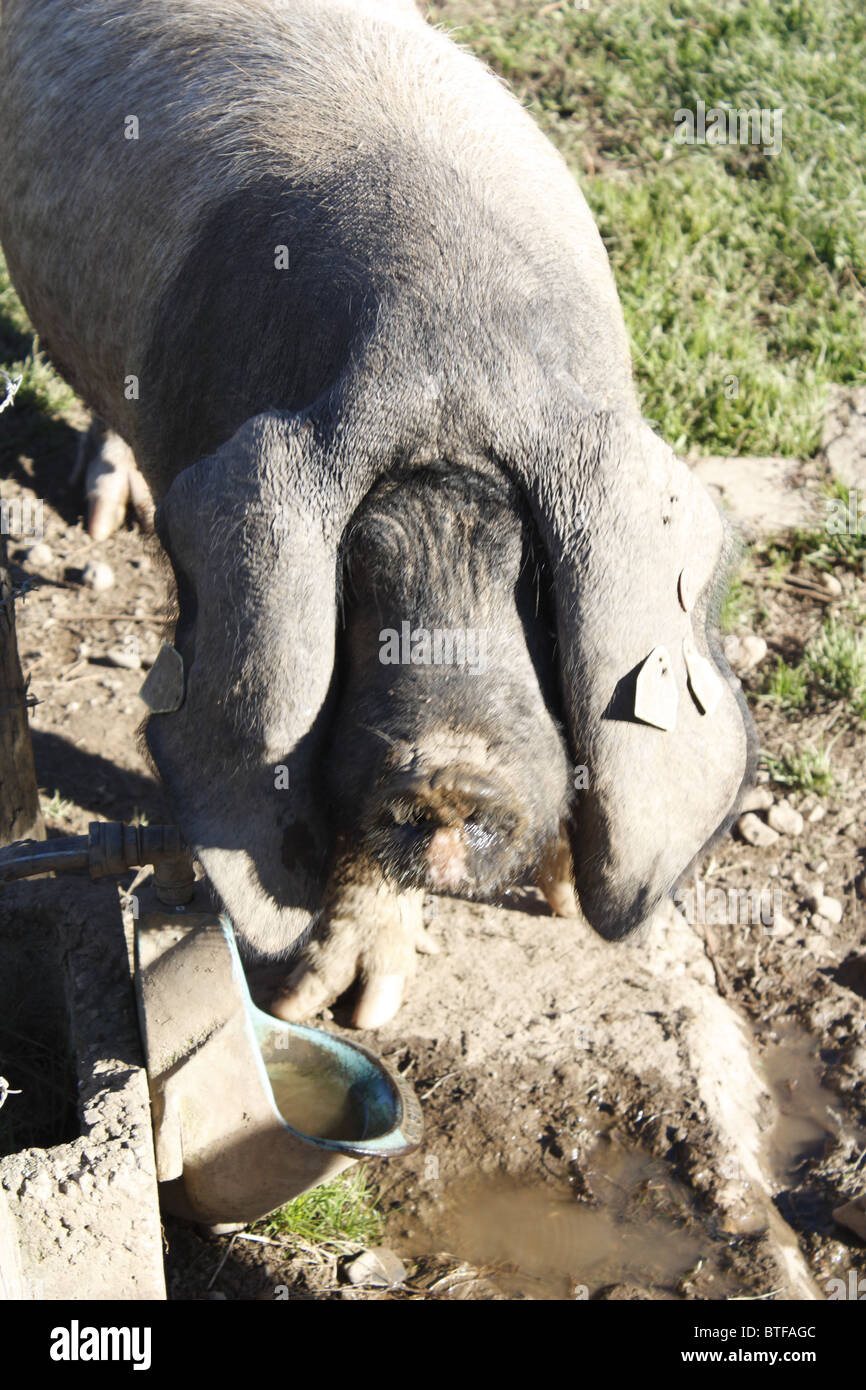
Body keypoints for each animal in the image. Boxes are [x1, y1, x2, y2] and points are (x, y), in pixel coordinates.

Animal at [0, 0, 756, 1026]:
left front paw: (562, 903)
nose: (451, 774)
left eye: (534, 588)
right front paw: (337, 1012)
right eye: (357, 586)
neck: (450, 376)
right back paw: (103, 520)